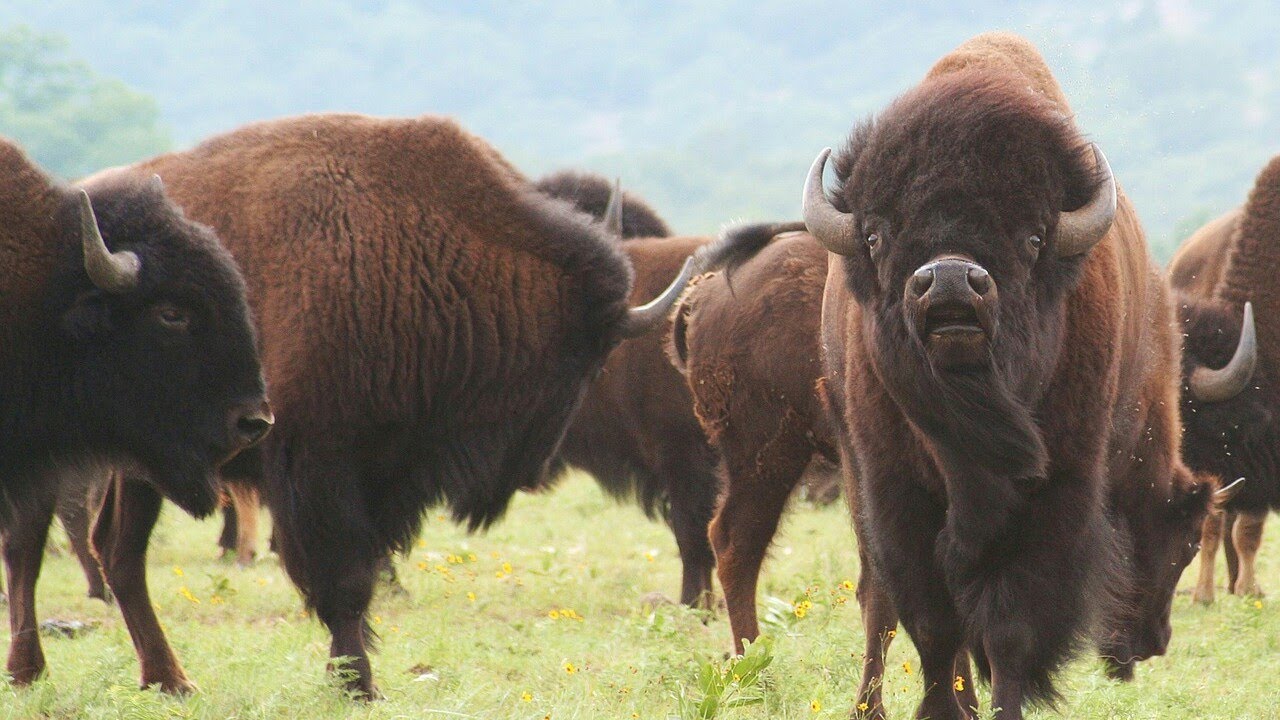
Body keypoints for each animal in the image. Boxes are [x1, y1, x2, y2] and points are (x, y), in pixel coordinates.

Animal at [91, 113, 767, 696]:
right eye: (579, 361)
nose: (532, 469)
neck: (420, 252)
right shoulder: (317, 466)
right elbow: (342, 581)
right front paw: (358, 684)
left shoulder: (386, 474)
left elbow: (363, 575)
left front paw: (354, 673)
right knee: (121, 552)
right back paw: (168, 678)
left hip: (140, 470)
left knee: (118, 552)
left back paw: (167, 679)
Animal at [809, 34, 1218, 719]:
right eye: (875, 235)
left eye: (1031, 237)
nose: (949, 279)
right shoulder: (897, 493)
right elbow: (932, 621)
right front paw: (941, 710)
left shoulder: (1055, 494)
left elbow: (1007, 628)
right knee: (880, 600)